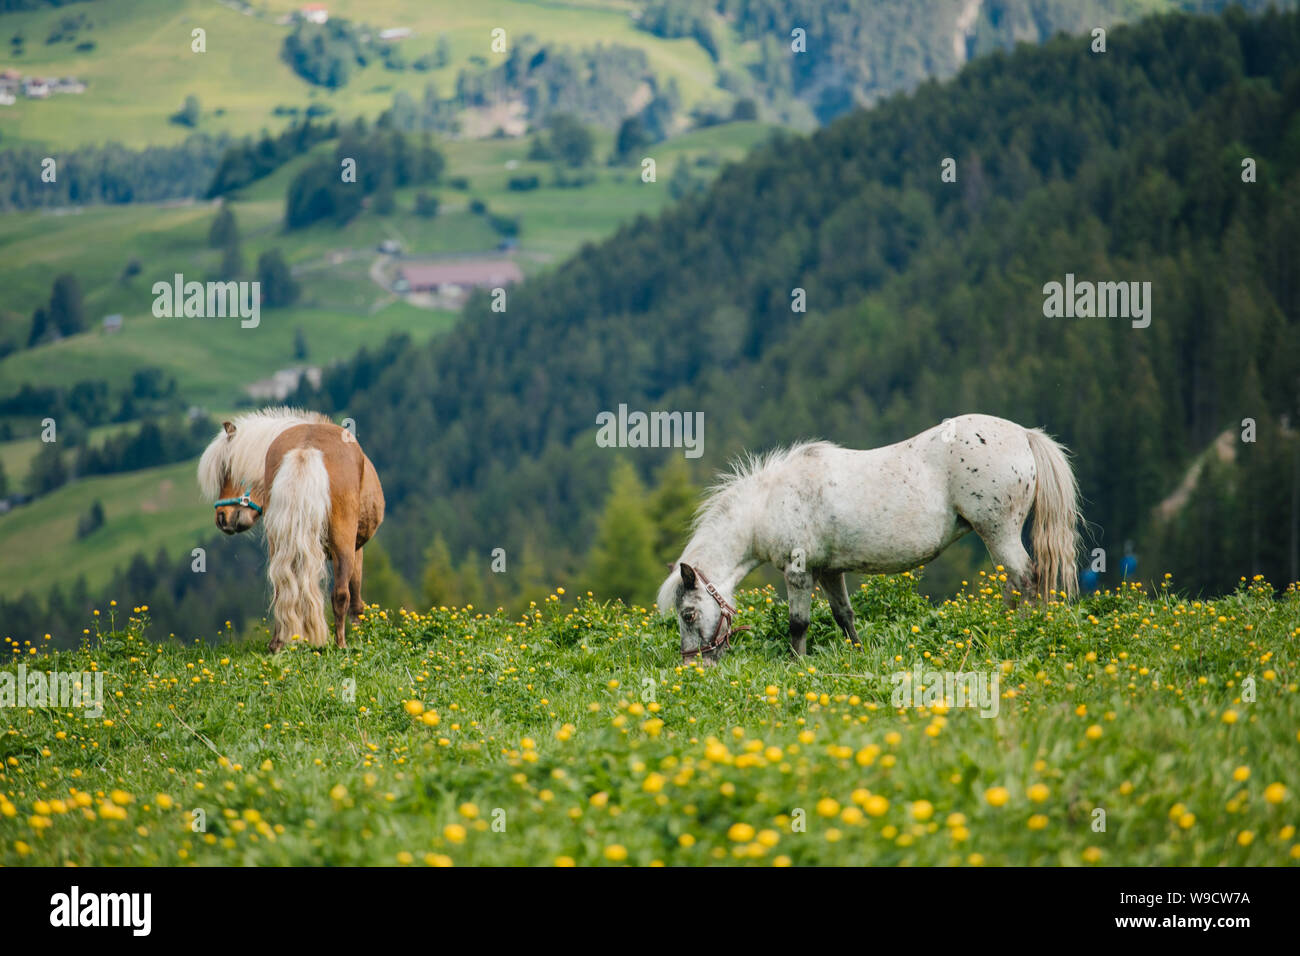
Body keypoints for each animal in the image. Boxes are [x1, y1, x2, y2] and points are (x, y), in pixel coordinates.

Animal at [197, 407, 385, 652]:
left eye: (227, 470)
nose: (222, 518)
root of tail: (306, 448)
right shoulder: (355, 548)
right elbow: (355, 595)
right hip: (343, 540)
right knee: (340, 594)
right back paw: (341, 645)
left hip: (279, 541)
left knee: (282, 588)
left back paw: (278, 643)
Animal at [656, 414, 1081, 663]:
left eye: (688, 613)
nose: (692, 664)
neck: (769, 504)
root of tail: (1023, 435)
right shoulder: (828, 572)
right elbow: (844, 615)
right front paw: (858, 654)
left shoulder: (798, 573)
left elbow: (798, 624)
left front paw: (797, 664)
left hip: (998, 531)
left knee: (1026, 580)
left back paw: (1013, 633)